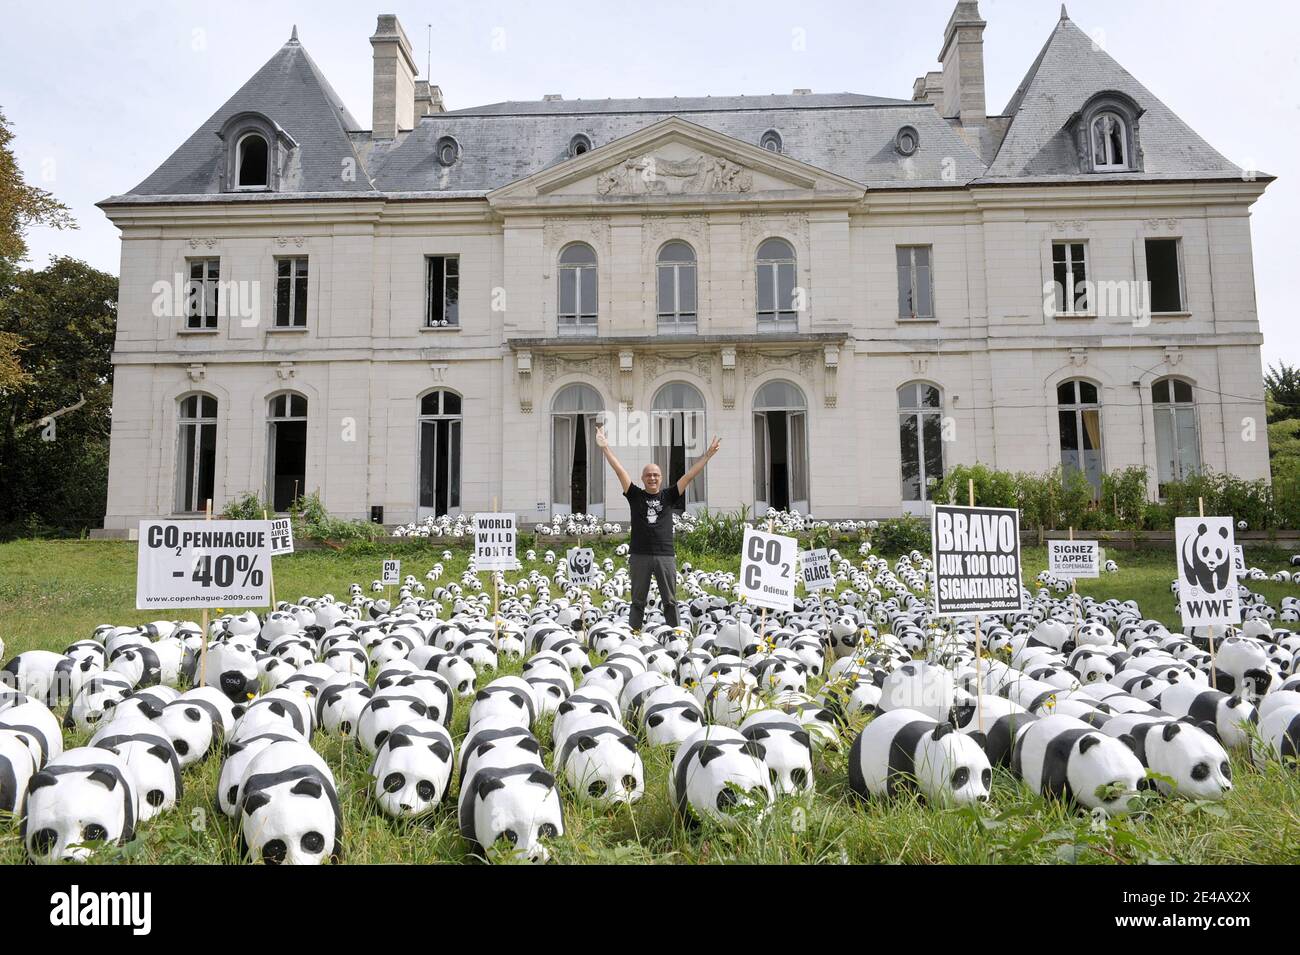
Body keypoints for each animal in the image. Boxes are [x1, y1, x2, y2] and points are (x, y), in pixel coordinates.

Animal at [849, 709, 991, 806]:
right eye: (962, 776)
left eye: (986, 778)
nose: (980, 797)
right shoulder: (902, 751)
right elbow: (899, 786)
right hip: (860, 763)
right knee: (860, 790)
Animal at [1011, 714, 1145, 813]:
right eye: (1113, 788)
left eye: (1141, 784)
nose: (1135, 804)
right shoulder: (1058, 761)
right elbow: (1056, 795)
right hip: (1020, 763)